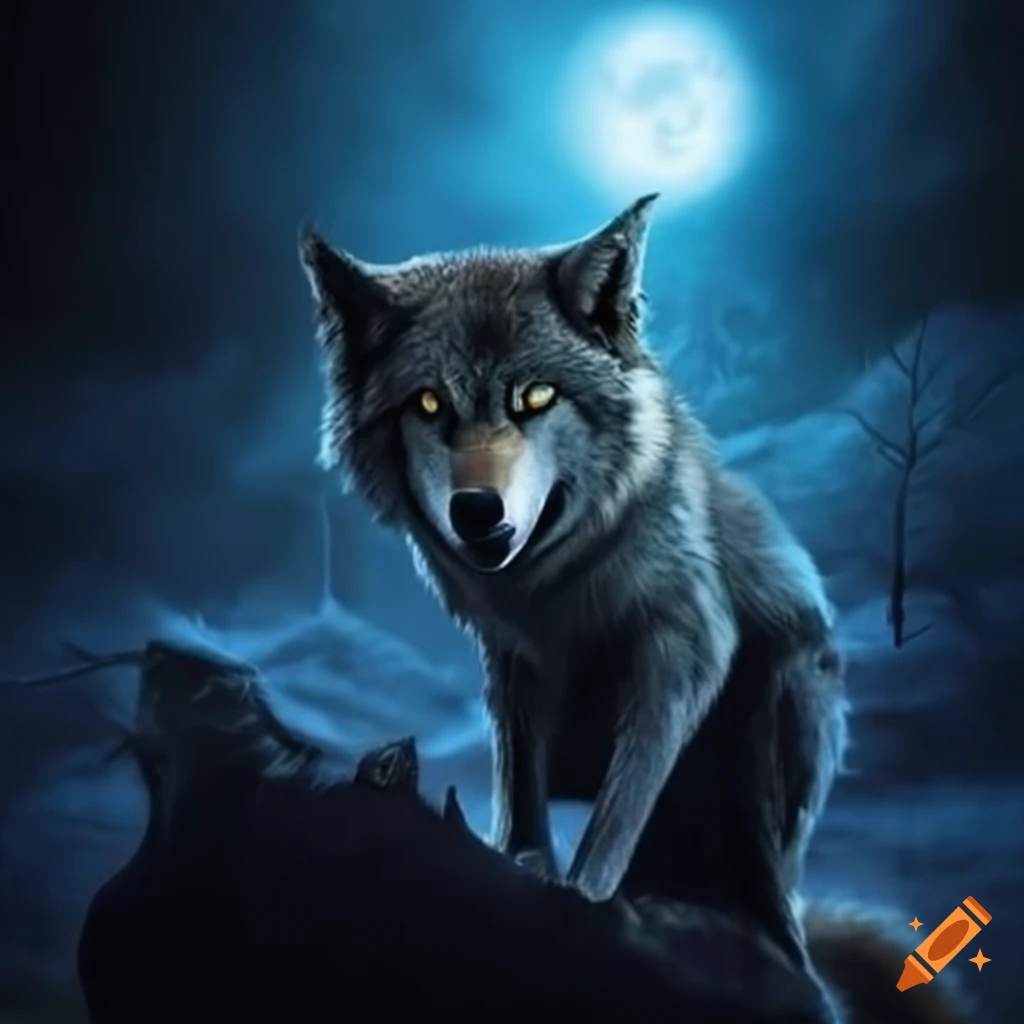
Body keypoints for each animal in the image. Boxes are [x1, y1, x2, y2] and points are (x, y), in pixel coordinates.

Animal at [298, 196, 846, 972]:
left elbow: (621, 804)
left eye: (537, 396)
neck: (550, 586)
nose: (477, 511)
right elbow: (522, 792)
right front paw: (520, 867)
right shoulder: (514, 665)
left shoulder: (685, 643)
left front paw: (582, 898)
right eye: (429, 405)